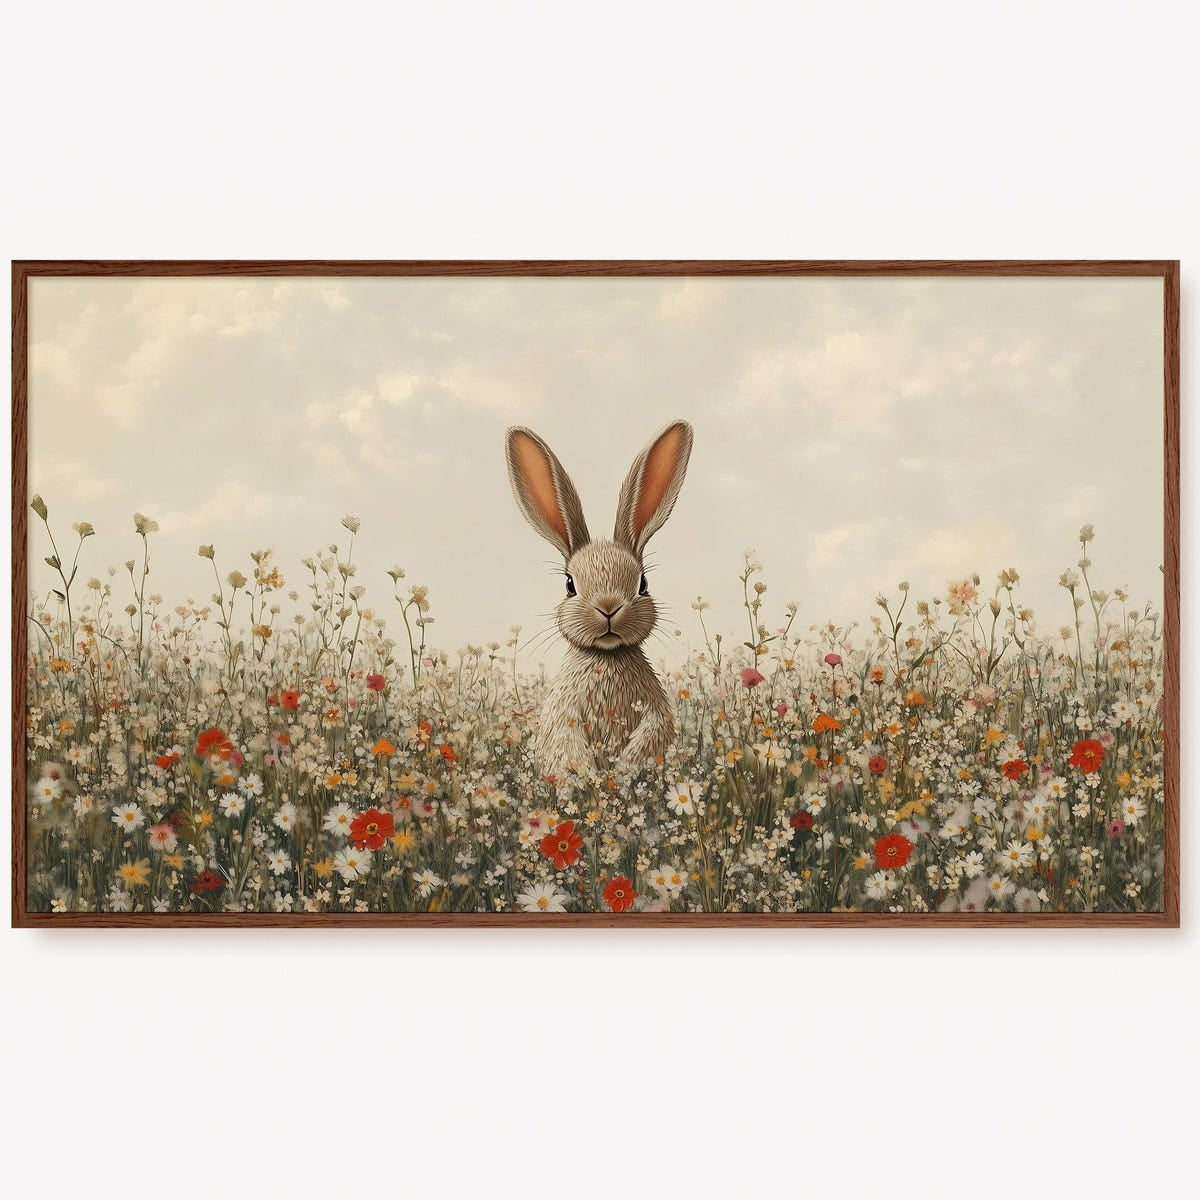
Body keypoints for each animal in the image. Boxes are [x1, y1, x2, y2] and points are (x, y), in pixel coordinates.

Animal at [505, 420, 693, 782]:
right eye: (569, 585)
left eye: (643, 583)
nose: (608, 608)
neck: (606, 656)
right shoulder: (561, 716)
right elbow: (565, 739)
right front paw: (589, 774)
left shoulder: (656, 712)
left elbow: (654, 729)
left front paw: (624, 768)